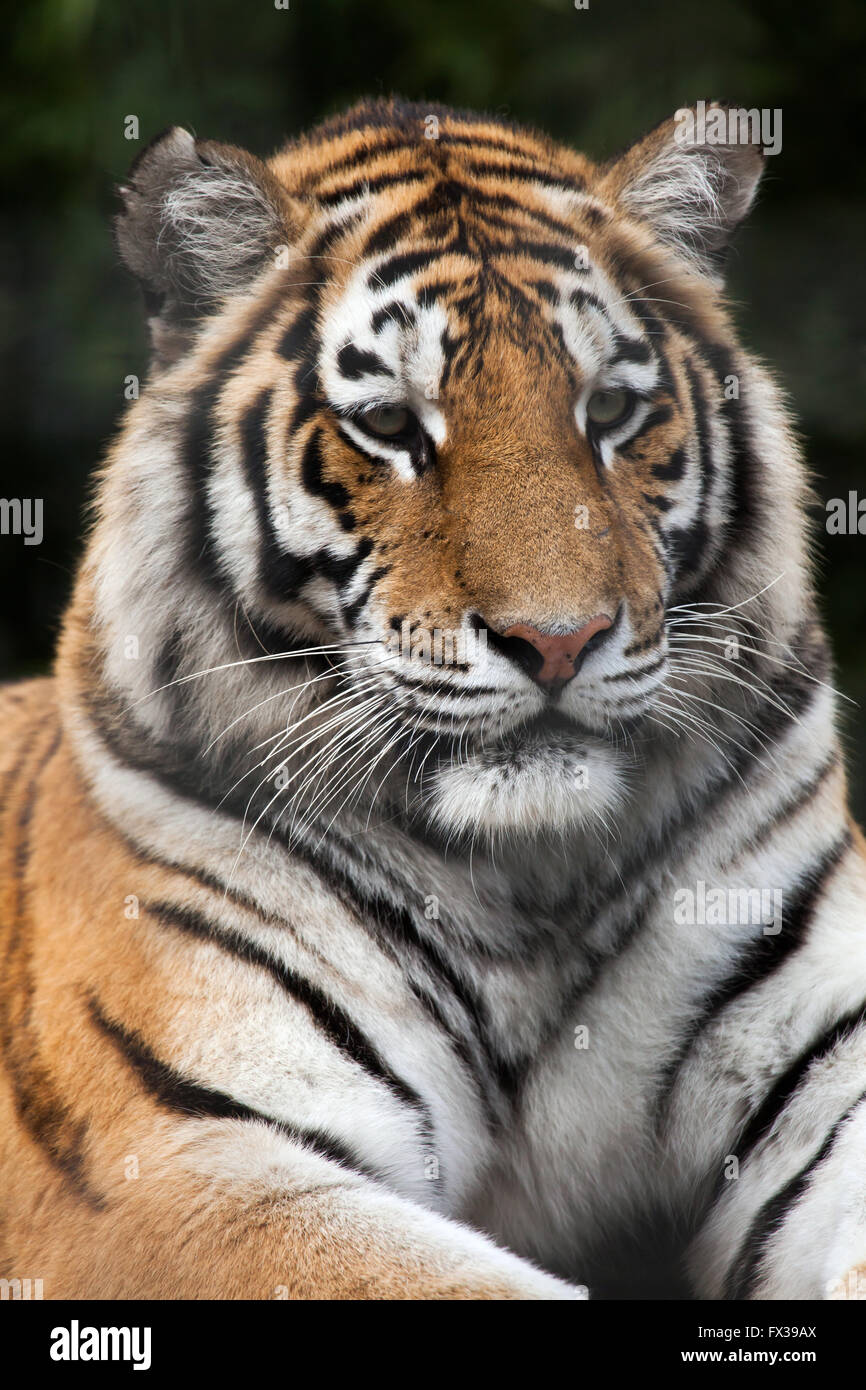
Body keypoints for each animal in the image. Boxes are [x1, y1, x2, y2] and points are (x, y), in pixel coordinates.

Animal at [1, 96, 865, 1302]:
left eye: (609, 409)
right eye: (392, 426)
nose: (558, 641)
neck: (526, 875)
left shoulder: (829, 1060)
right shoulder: (173, 1153)